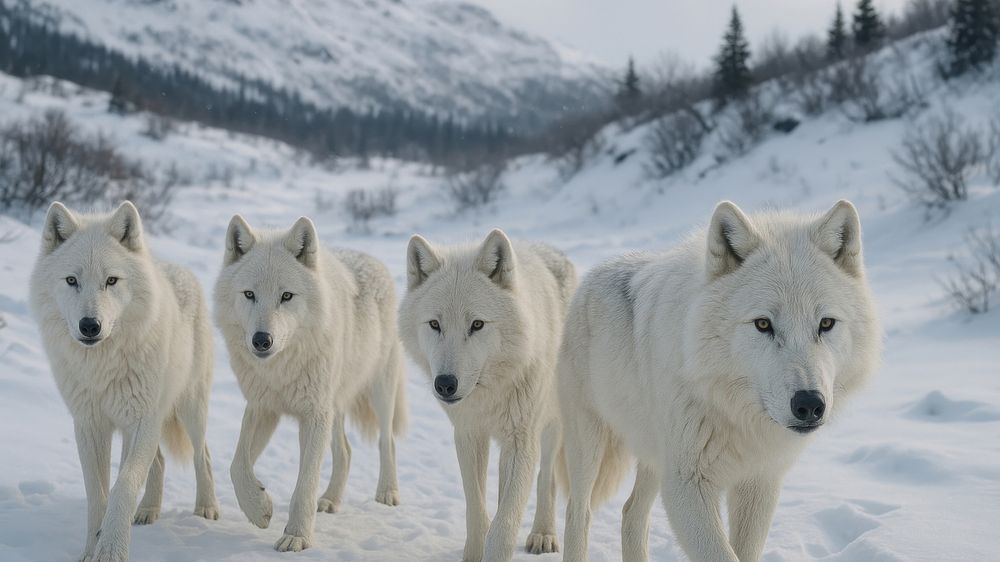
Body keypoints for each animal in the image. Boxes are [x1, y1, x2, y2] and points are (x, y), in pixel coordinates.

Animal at [29, 201, 219, 562]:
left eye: (111, 280)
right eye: (72, 280)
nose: (90, 325)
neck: (102, 367)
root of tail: (177, 268)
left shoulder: (140, 422)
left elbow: (124, 485)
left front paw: (111, 549)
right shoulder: (89, 425)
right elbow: (97, 495)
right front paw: (92, 548)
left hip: (190, 410)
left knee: (202, 455)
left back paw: (206, 509)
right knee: (159, 461)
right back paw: (147, 511)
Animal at [214, 215, 406, 552]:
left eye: (286, 296)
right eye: (249, 294)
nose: (262, 340)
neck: (281, 368)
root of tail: (373, 259)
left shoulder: (314, 414)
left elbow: (305, 482)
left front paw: (297, 536)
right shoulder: (263, 407)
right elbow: (237, 465)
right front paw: (259, 509)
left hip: (379, 391)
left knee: (387, 440)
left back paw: (387, 492)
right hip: (335, 406)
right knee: (346, 452)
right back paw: (330, 500)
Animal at [399, 229, 576, 562]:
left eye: (477, 324)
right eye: (435, 324)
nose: (445, 384)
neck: (492, 392)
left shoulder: (522, 441)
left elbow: (503, 526)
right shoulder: (469, 434)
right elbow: (477, 512)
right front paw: (473, 552)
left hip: (551, 426)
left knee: (546, 479)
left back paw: (543, 534)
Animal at [558, 200, 881, 562]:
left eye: (826, 323)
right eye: (763, 324)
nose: (809, 404)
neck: (737, 416)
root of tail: (595, 273)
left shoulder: (758, 482)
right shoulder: (687, 486)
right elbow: (723, 554)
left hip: (653, 458)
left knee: (631, 513)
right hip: (589, 445)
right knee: (578, 512)